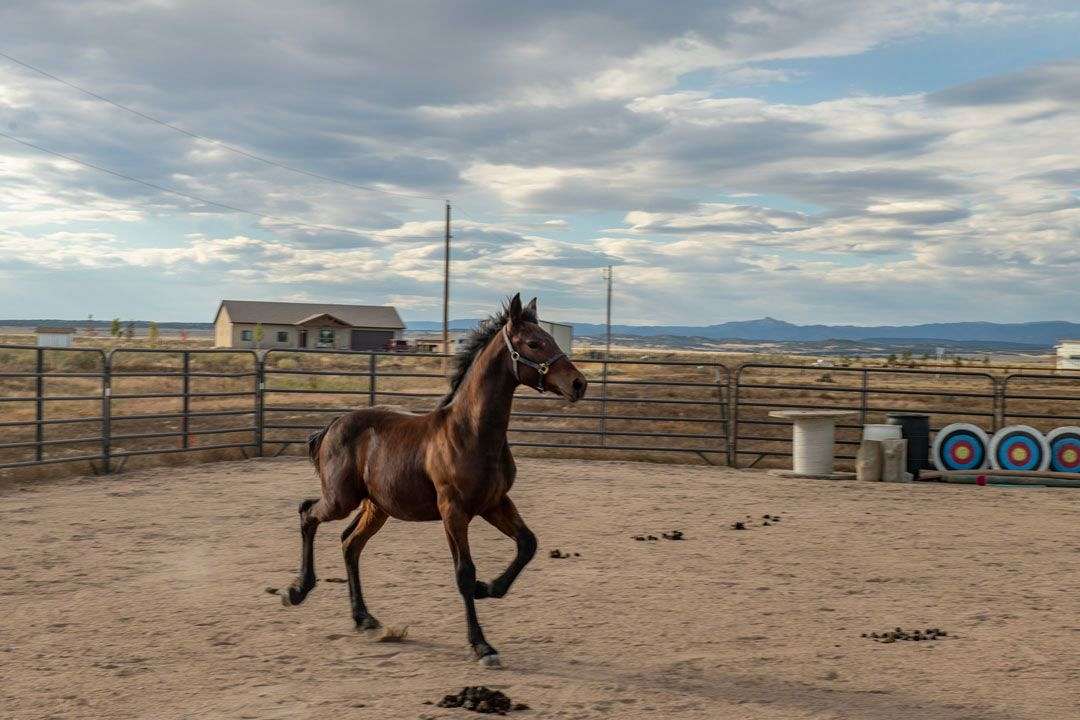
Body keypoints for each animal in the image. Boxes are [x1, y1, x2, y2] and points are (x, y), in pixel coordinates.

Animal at [276, 294, 588, 666]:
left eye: (550, 338)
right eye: (534, 343)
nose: (579, 384)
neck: (471, 434)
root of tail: (332, 425)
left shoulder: (495, 503)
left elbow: (528, 544)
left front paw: (489, 589)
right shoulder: (453, 511)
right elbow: (464, 573)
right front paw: (482, 645)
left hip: (377, 508)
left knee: (350, 543)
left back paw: (364, 618)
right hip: (341, 499)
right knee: (307, 513)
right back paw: (297, 590)